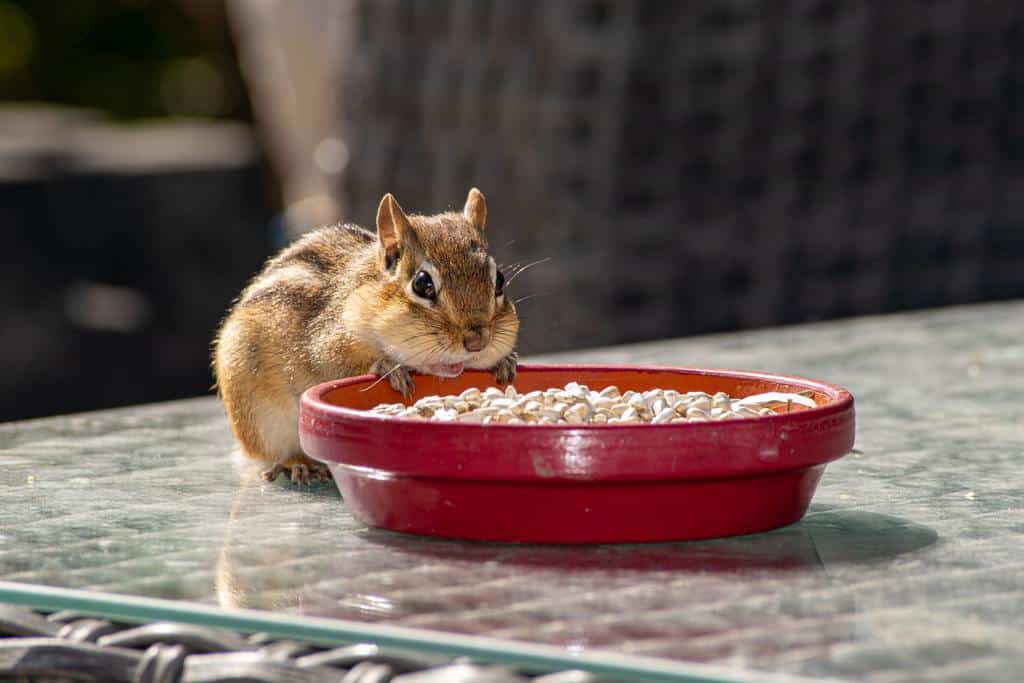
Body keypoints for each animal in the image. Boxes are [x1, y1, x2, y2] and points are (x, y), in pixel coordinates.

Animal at [213, 188, 519, 483]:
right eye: (422, 284)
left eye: (499, 280)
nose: (477, 342)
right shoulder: (324, 345)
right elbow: (339, 366)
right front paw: (389, 368)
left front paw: (505, 361)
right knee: (273, 452)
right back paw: (299, 463)